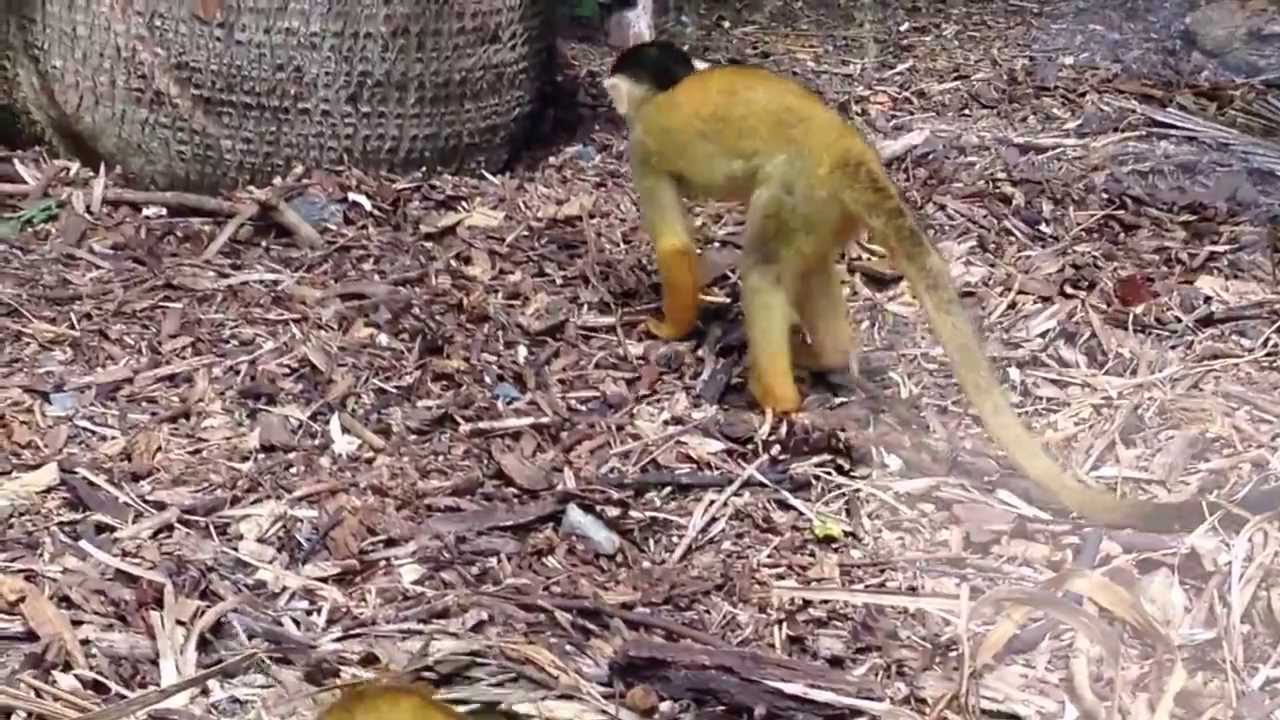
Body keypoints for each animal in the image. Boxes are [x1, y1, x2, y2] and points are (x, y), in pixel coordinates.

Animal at [603, 40, 1280, 533]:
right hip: (825, 199)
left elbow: (674, 246)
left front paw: (667, 325)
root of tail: (845, 146)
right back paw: (824, 360)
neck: (667, 94)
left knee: (766, 270)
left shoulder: (641, 145)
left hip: (797, 182)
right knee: (809, 262)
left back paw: (777, 397)